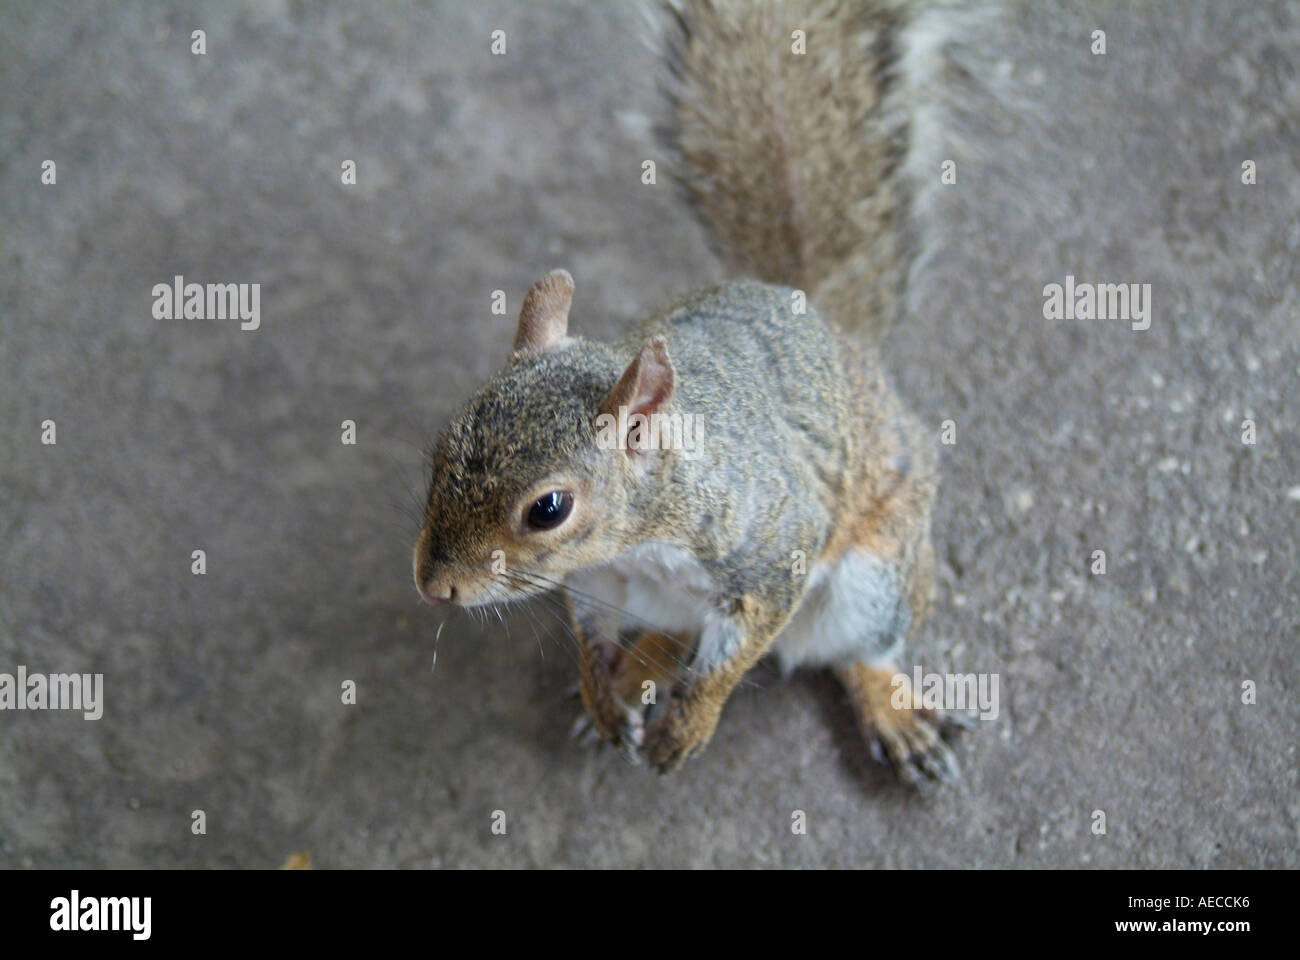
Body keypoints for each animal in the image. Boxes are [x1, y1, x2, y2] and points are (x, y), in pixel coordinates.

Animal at [413, 0, 970, 782]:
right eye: (443, 442)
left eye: (549, 509)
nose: (434, 586)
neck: (641, 538)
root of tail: (820, 316)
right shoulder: (603, 579)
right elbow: (592, 630)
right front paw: (598, 685)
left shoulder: (774, 543)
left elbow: (733, 658)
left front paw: (690, 723)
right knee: (675, 635)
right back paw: (632, 675)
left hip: (876, 575)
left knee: (856, 649)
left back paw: (890, 711)